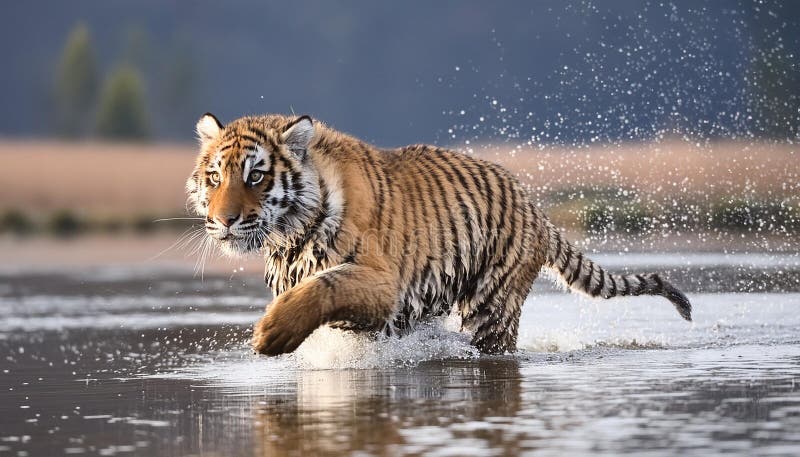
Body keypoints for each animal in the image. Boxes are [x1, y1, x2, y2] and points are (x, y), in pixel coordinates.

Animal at [186, 113, 692, 356]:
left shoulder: (380, 282)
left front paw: (270, 335)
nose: (225, 220)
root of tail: (535, 208)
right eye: (215, 177)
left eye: (255, 176)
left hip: (492, 307)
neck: (287, 238)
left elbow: (323, 288)